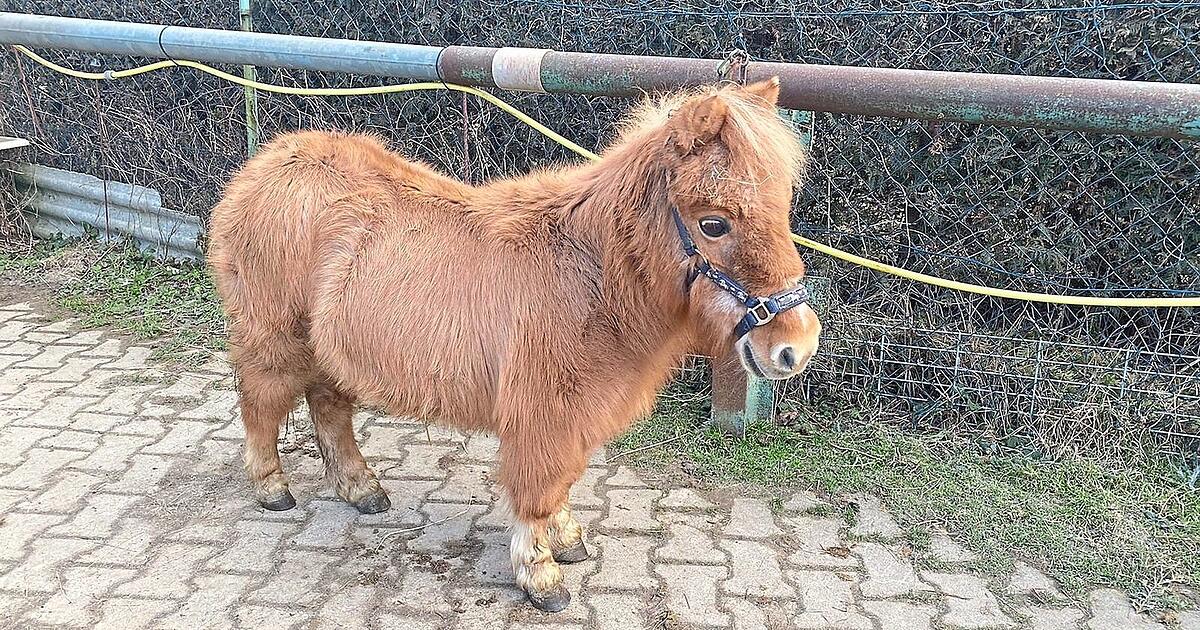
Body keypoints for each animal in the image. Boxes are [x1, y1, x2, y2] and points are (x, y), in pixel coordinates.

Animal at [207, 77, 821, 611]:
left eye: (781, 207)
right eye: (714, 224)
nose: (796, 347)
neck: (591, 275)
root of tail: (267, 163)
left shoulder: (572, 413)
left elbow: (563, 480)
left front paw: (567, 541)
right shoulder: (539, 414)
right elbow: (538, 487)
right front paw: (540, 575)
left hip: (328, 350)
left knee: (329, 408)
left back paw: (362, 490)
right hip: (274, 339)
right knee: (260, 405)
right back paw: (272, 488)